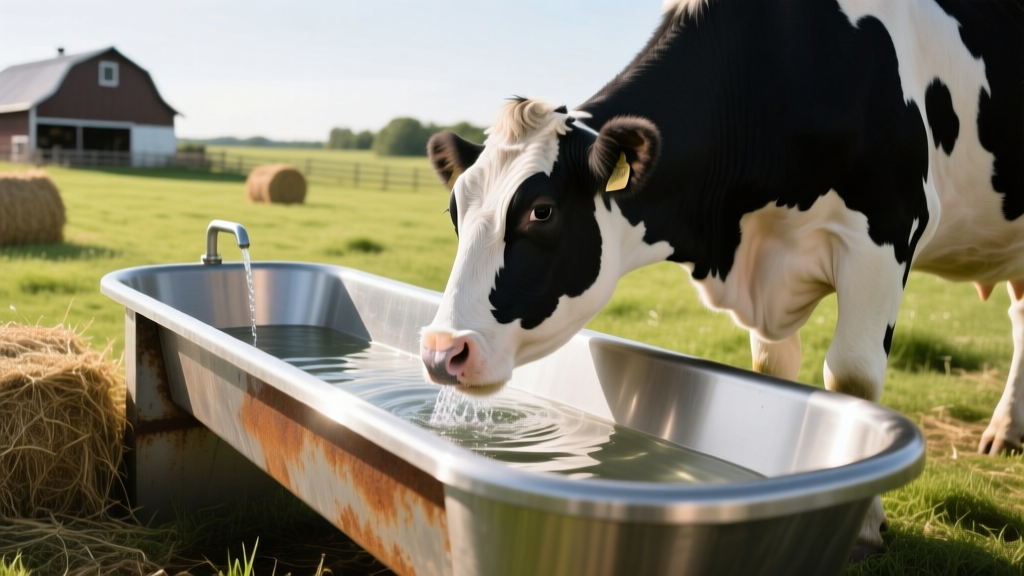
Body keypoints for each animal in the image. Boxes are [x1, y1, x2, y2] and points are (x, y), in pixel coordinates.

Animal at [419, 0, 1023, 559]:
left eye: (540, 211)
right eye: (454, 210)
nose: (442, 351)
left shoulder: (887, 229)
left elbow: (852, 378)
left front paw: (865, 524)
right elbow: (774, 368)